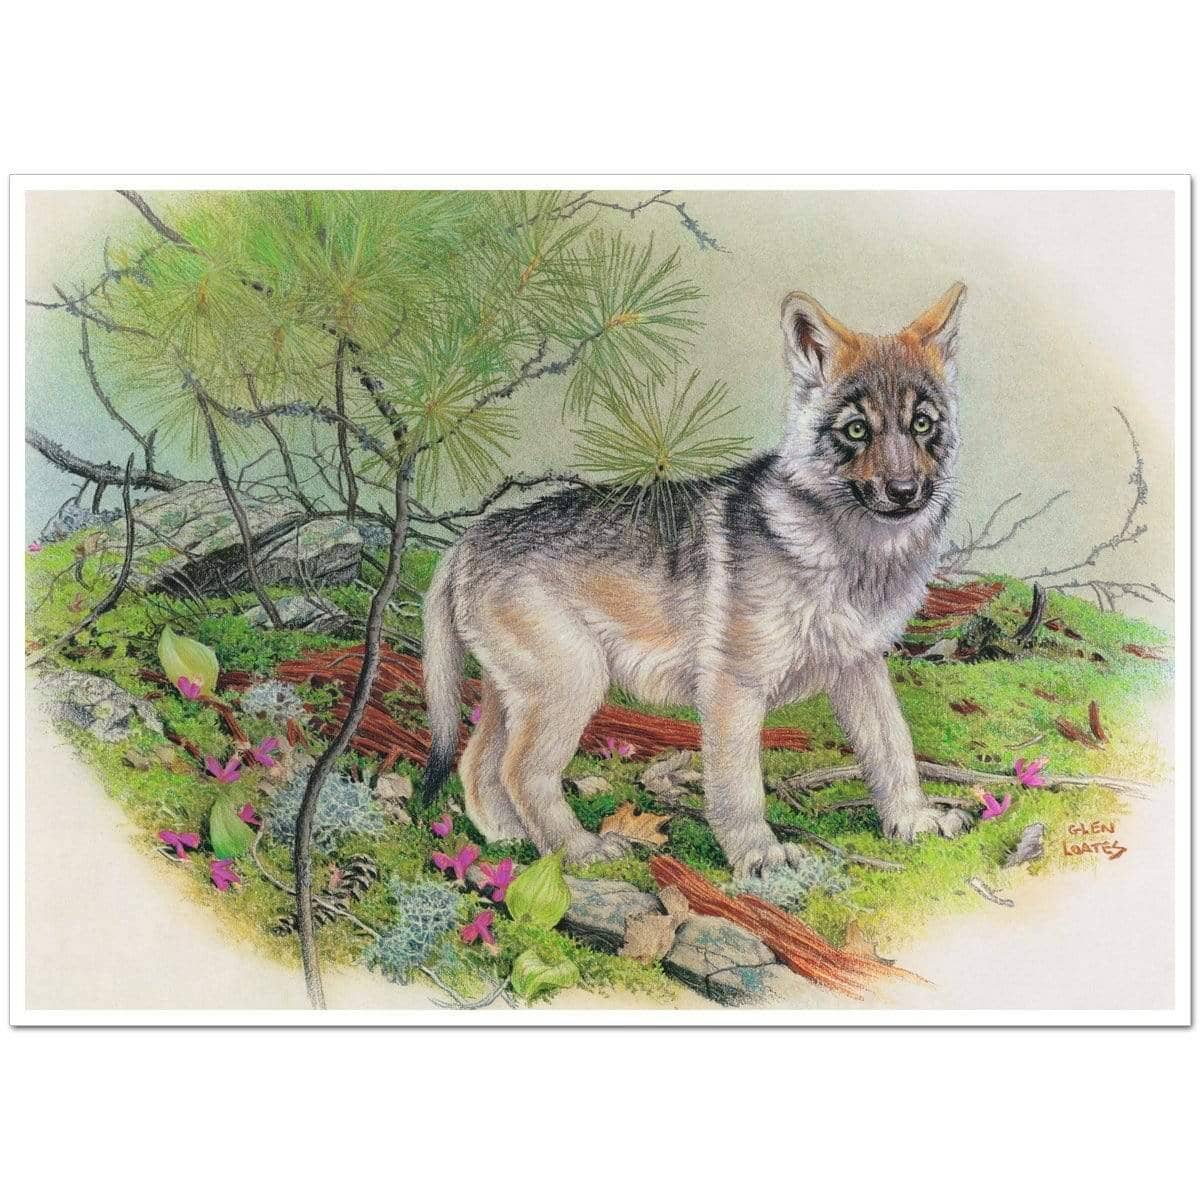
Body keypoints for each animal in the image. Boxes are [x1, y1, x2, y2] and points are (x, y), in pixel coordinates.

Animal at [421, 283, 971, 876]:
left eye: (922, 424)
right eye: (856, 430)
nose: (904, 492)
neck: (851, 553)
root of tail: (468, 541)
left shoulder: (860, 668)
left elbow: (893, 749)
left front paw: (913, 820)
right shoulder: (733, 688)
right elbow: (738, 787)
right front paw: (759, 855)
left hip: (520, 694)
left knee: (478, 763)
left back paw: (509, 839)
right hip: (572, 685)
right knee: (521, 773)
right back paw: (581, 851)